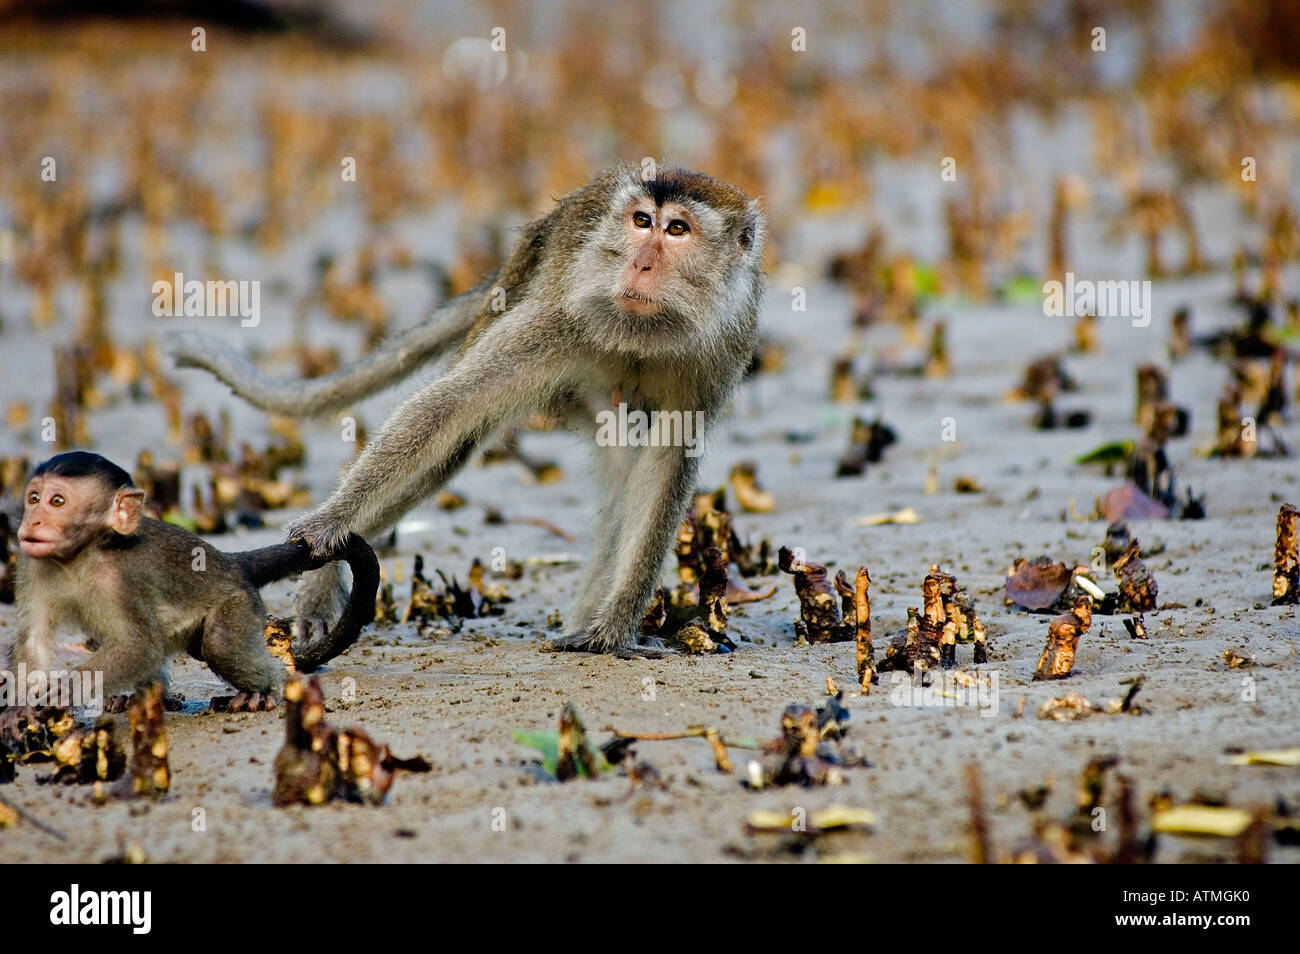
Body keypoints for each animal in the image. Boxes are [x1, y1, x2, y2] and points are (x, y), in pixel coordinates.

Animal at [0, 452, 378, 719]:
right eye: (34, 498)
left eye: (57, 502)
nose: (33, 521)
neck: (82, 555)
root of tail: (230, 561)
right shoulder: (34, 567)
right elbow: (33, 642)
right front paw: (20, 712)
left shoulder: (122, 580)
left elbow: (141, 646)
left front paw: (66, 689)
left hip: (238, 600)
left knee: (220, 643)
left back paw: (267, 687)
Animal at [169, 164, 765, 656]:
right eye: (642, 221)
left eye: (677, 231)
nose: (640, 263)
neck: (645, 332)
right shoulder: (560, 319)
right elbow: (451, 405)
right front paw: (327, 528)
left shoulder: (720, 351)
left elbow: (665, 463)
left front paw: (613, 629)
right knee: (449, 447)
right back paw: (321, 586)